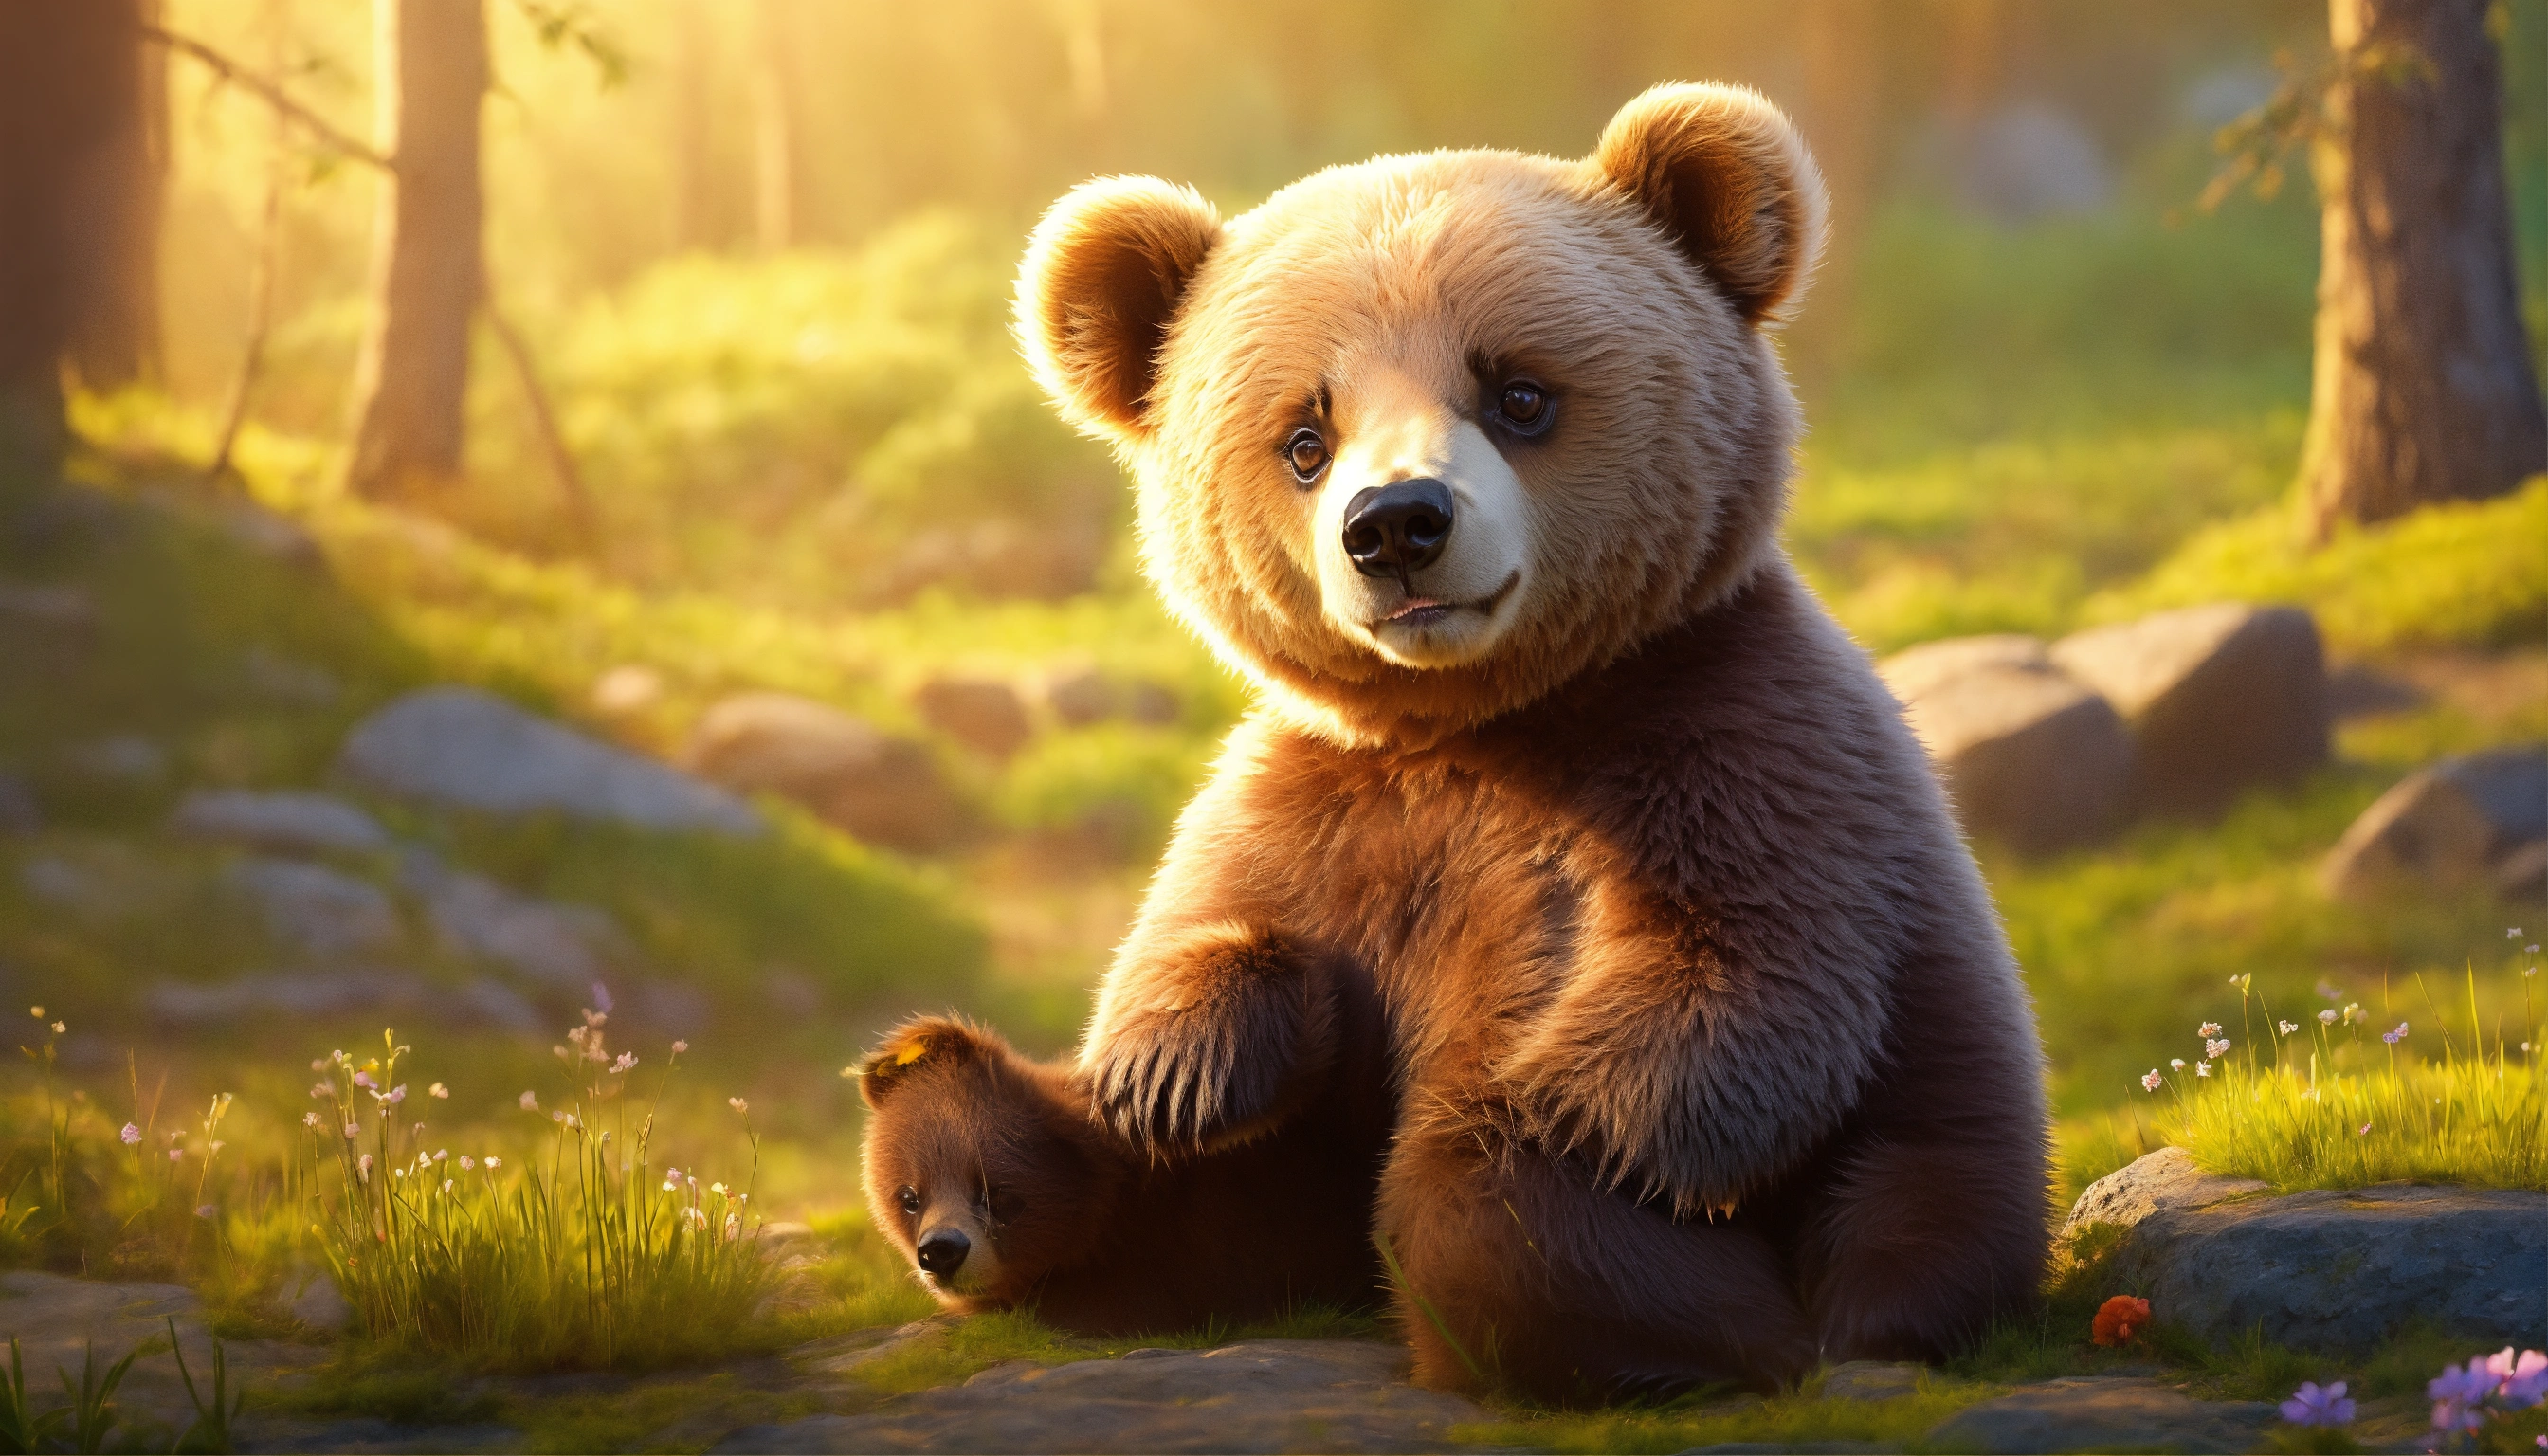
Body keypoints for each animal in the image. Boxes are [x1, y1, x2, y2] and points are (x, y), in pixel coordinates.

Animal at [1011, 80, 2052, 1403]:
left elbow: (1739, 972)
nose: (1395, 526)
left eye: (1517, 394)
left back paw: (1741, 1326)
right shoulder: (1327, 789)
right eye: (1306, 437)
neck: (1481, 714)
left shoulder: (1729, 731)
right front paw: (1171, 1075)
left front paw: (1568, 1115)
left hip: (1939, 1124)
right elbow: (1202, 918)